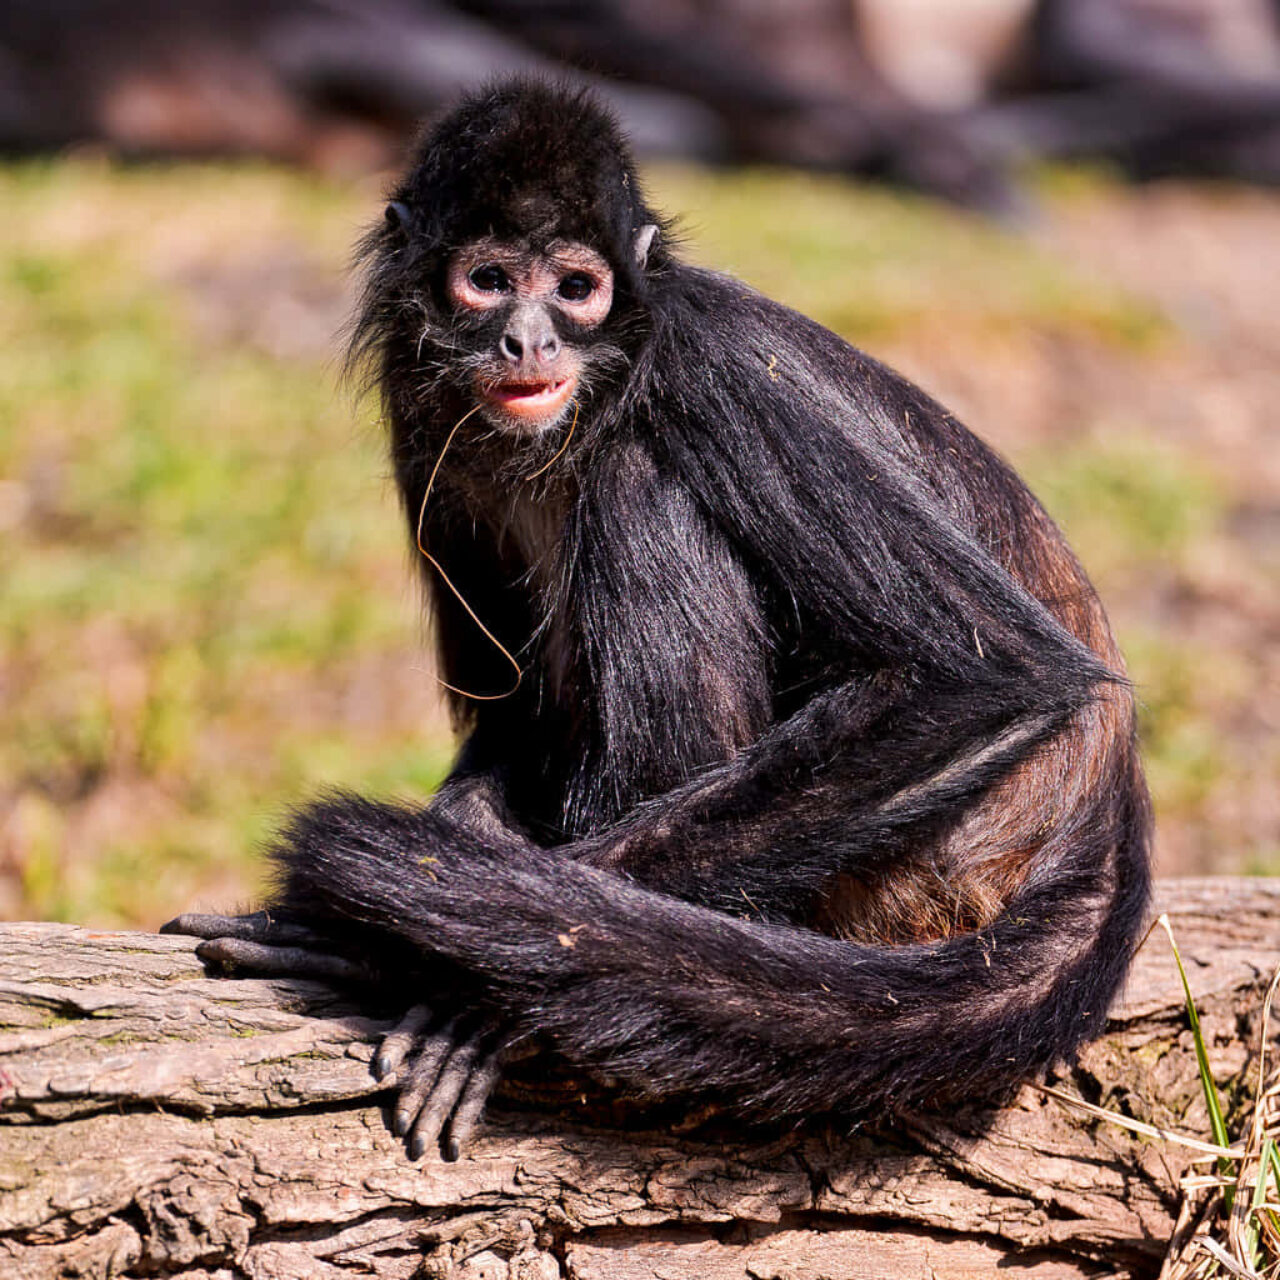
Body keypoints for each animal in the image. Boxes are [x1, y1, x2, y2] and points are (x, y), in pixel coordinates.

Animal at [164, 78, 1152, 1164]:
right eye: (489, 281)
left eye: (574, 289)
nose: (528, 339)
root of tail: (1104, 791)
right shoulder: (418, 408)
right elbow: (508, 716)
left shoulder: (707, 355)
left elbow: (994, 677)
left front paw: (383, 944)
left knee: (637, 473)